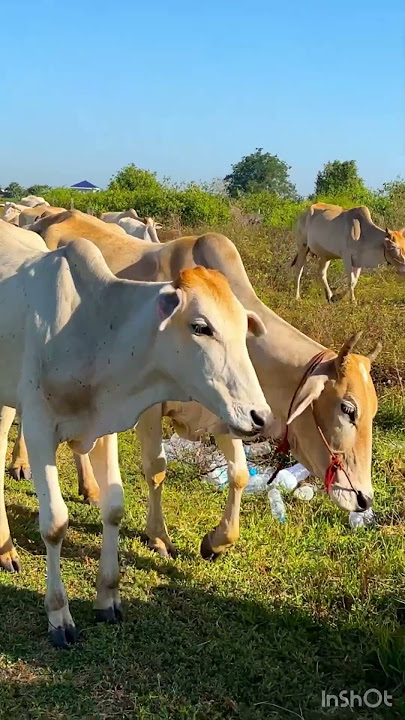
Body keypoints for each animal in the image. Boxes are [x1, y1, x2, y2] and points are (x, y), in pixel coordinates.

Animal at [0, 219, 272, 646]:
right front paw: (59, 616)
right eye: (201, 327)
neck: (91, 326)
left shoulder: (104, 426)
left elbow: (113, 508)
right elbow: (55, 524)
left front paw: (107, 598)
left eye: (243, 330)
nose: (259, 416)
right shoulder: (40, 427)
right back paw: (7, 551)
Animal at [20, 210, 381, 564]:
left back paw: (90, 487)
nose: (364, 498)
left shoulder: (230, 416)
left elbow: (238, 474)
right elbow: (156, 468)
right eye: (347, 409)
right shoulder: (150, 409)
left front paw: (217, 542)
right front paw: (159, 537)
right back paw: (22, 466)